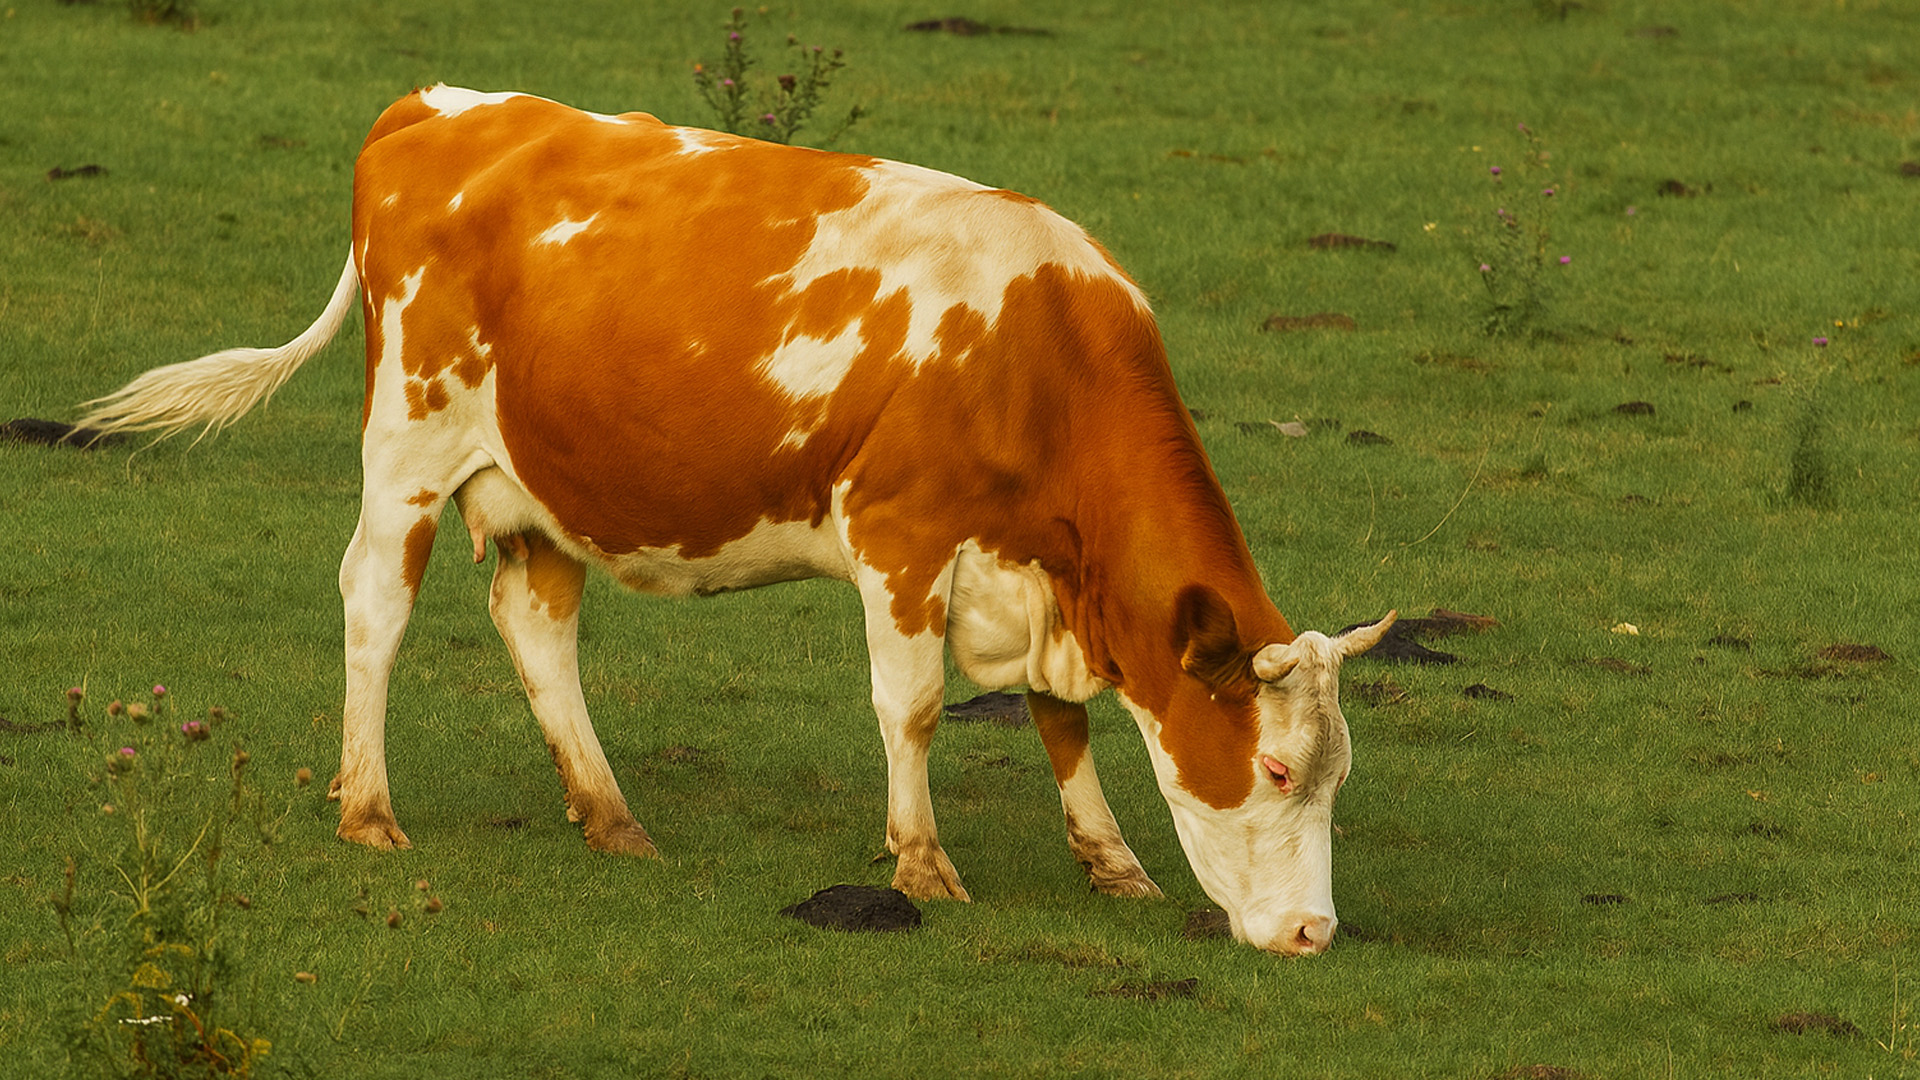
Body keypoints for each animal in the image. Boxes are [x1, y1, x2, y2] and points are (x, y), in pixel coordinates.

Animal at [79, 85, 1395, 956]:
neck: (1038, 350)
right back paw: (368, 811)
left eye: (1338, 774)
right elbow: (914, 706)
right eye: (1276, 767)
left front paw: (1113, 863)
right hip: (410, 440)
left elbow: (1059, 717)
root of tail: (440, 106)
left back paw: (612, 817)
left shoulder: (1044, 582)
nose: (1315, 934)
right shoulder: (902, 537)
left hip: (546, 484)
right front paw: (923, 863)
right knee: (376, 601)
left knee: (533, 621)